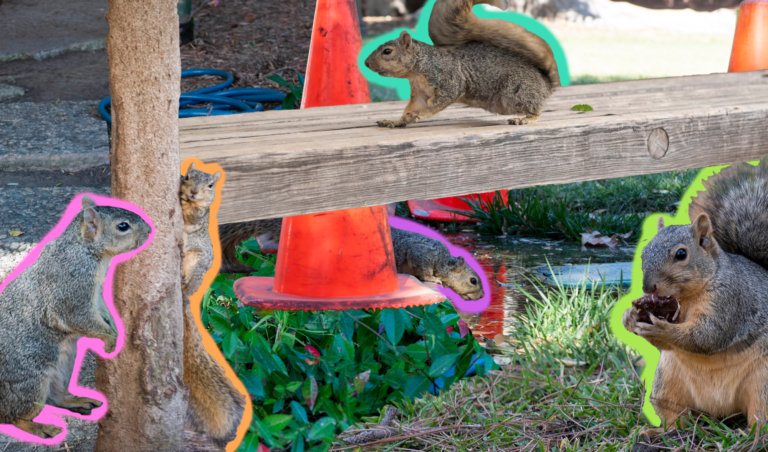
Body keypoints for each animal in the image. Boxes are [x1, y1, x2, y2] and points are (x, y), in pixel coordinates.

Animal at [0, 196, 150, 438]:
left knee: (56, 396)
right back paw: (42, 427)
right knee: (16, 416)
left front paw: (114, 327)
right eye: (123, 226)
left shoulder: (96, 294)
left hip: (64, 366)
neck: (83, 248)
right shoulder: (71, 287)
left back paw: (77, 400)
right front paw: (110, 338)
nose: (149, 230)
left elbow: (102, 310)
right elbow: (79, 316)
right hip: (28, 381)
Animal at [215, 219, 485, 301]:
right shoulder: (421, 253)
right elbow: (424, 271)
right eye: (473, 280)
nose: (482, 297)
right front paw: (435, 280)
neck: (443, 259)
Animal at [364, 0, 559, 128]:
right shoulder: (419, 93)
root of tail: (546, 84)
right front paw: (396, 121)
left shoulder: (449, 80)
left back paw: (525, 119)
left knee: (536, 109)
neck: (417, 72)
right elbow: (412, 108)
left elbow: (434, 105)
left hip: (516, 91)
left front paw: (418, 115)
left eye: (387, 51)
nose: (365, 63)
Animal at [622, 156, 768, 428]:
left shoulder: (730, 300)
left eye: (681, 254)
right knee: (675, 416)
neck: (689, 295)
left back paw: (752, 433)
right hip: (667, 383)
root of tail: (721, 411)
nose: (647, 288)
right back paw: (660, 432)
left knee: (760, 415)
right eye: (644, 251)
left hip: (764, 383)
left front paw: (663, 329)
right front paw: (629, 317)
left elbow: (708, 335)